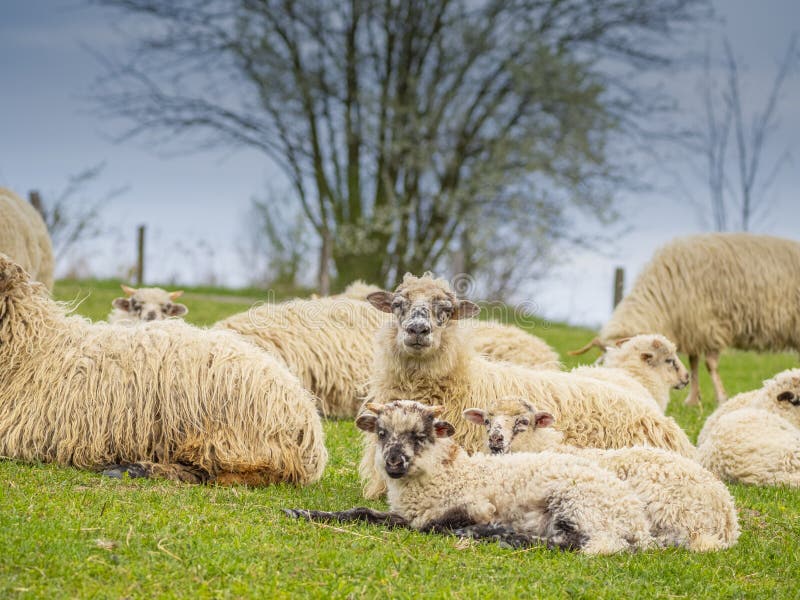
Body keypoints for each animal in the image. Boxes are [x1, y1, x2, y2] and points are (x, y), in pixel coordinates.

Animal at [290, 400, 653, 554]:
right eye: (381, 433)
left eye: (421, 436)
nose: (394, 462)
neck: (447, 472)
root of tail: (637, 522)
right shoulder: (405, 511)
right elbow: (362, 512)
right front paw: (303, 512)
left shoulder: (475, 507)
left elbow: (429, 525)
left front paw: (474, 529)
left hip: (575, 503)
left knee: (572, 542)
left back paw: (497, 536)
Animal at [570, 233, 800, 406]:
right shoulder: (692, 328)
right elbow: (694, 362)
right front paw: (692, 400)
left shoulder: (708, 324)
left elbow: (709, 365)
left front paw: (721, 398)